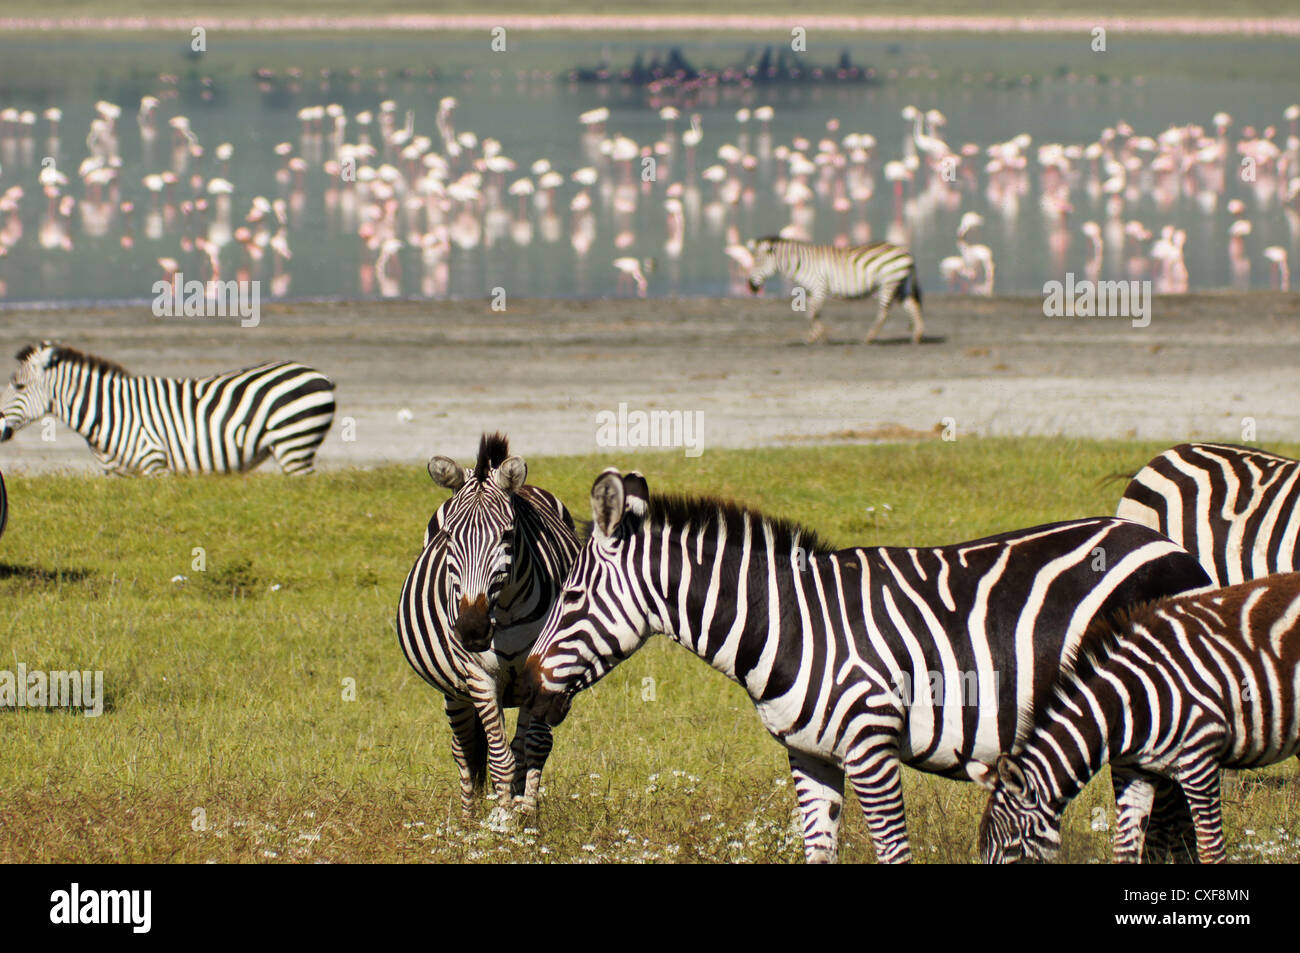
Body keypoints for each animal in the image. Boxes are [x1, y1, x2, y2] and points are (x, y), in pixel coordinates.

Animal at [397, 433, 580, 815]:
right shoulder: (479, 676)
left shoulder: (544, 670)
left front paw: (526, 819)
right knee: (464, 748)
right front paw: (502, 822)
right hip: (454, 690)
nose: (472, 629)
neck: (506, 611)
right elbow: (499, 760)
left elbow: (533, 748)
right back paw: (468, 820)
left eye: (507, 536)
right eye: (449, 537)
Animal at [524, 468, 1212, 863]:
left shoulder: (870, 747)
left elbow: (893, 853)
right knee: (1139, 833)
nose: (526, 687)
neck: (792, 625)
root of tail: (1172, 550)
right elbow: (818, 852)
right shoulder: (811, 754)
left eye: (571, 598)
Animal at [745, 235, 924, 345]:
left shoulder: (819, 287)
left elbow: (812, 313)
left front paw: (819, 337)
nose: (751, 287)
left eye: (758, 262)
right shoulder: (811, 292)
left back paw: (868, 338)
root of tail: (907, 252)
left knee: (884, 312)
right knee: (912, 306)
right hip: (900, 284)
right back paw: (916, 337)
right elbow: (811, 313)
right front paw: (814, 336)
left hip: (889, 283)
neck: (802, 263)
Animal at [968, 573, 1300, 864]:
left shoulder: (1199, 762)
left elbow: (1211, 852)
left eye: (1013, 847)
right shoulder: (1135, 773)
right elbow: (1125, 852)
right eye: (983, 851)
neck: (1127, 705)